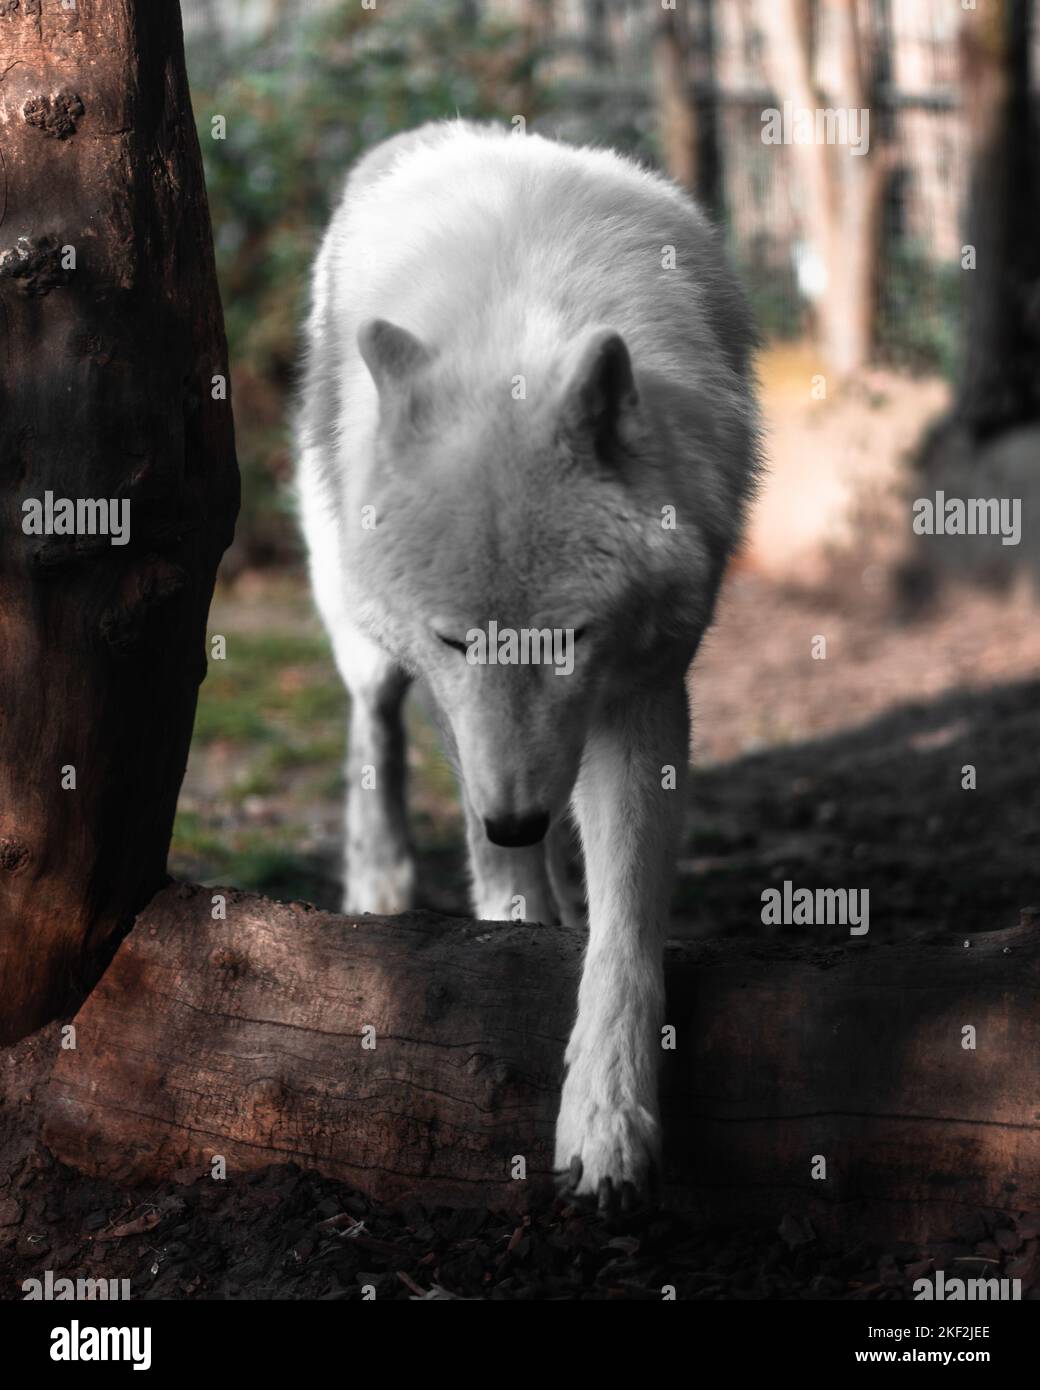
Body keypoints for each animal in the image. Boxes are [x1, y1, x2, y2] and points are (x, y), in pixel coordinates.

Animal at [296, 120, 760, 1205]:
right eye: (459, 638)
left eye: (571, 639)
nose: (516, 818)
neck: (521, 328)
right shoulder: (446, 682)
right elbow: (485, 831)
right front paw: (514, 917)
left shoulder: (645, 686)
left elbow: (625, 914)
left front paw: (607, 1116)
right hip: (358, 614)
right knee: (372, 719)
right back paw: (378, 874)